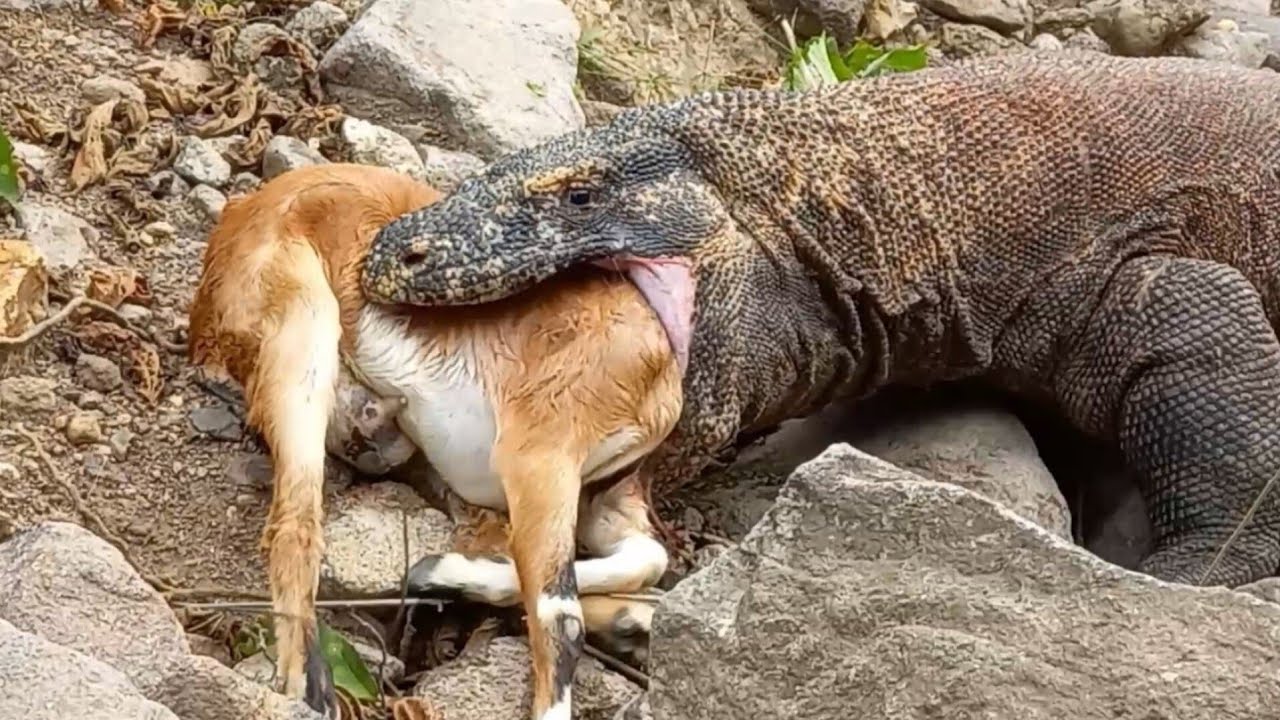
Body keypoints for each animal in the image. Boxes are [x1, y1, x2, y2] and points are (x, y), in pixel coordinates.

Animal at [187, 163, 681, 720]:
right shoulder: (540, 462)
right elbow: (560, 613)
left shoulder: (605, 495)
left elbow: (646, 558)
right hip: (302, 340)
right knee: (296, 523)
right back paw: (309, 687)